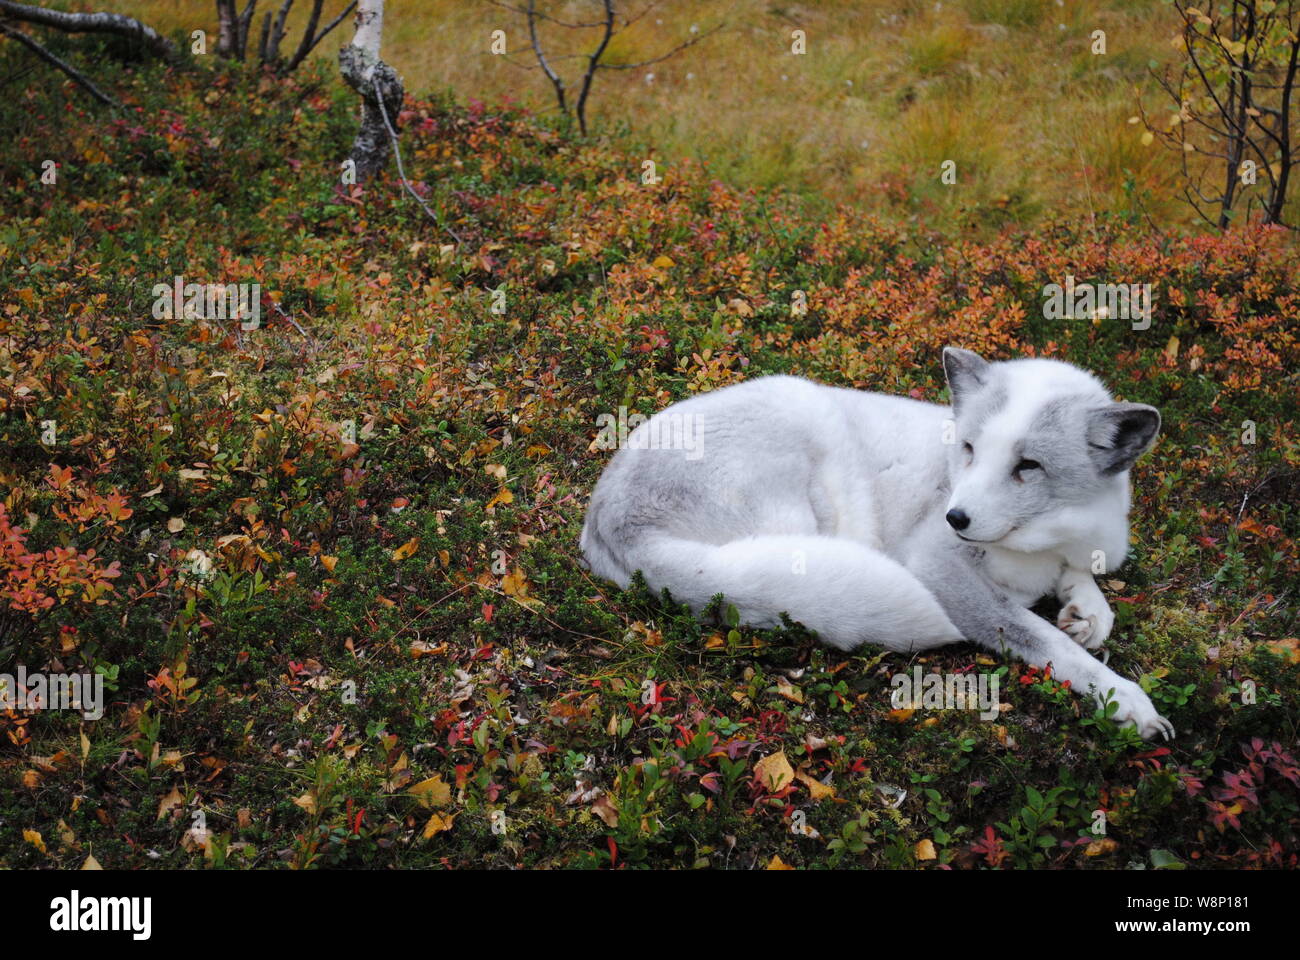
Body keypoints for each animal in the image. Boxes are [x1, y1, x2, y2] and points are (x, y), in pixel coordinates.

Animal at [580, 346, 1174, 740]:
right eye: (969, 449)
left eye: (1029, 466)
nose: (955, 516)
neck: (1044, 540)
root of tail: (613, 519)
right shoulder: (937, 562)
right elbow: (1045, 639)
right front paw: (1122, 696)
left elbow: (1087, 588)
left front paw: (1087, 611)